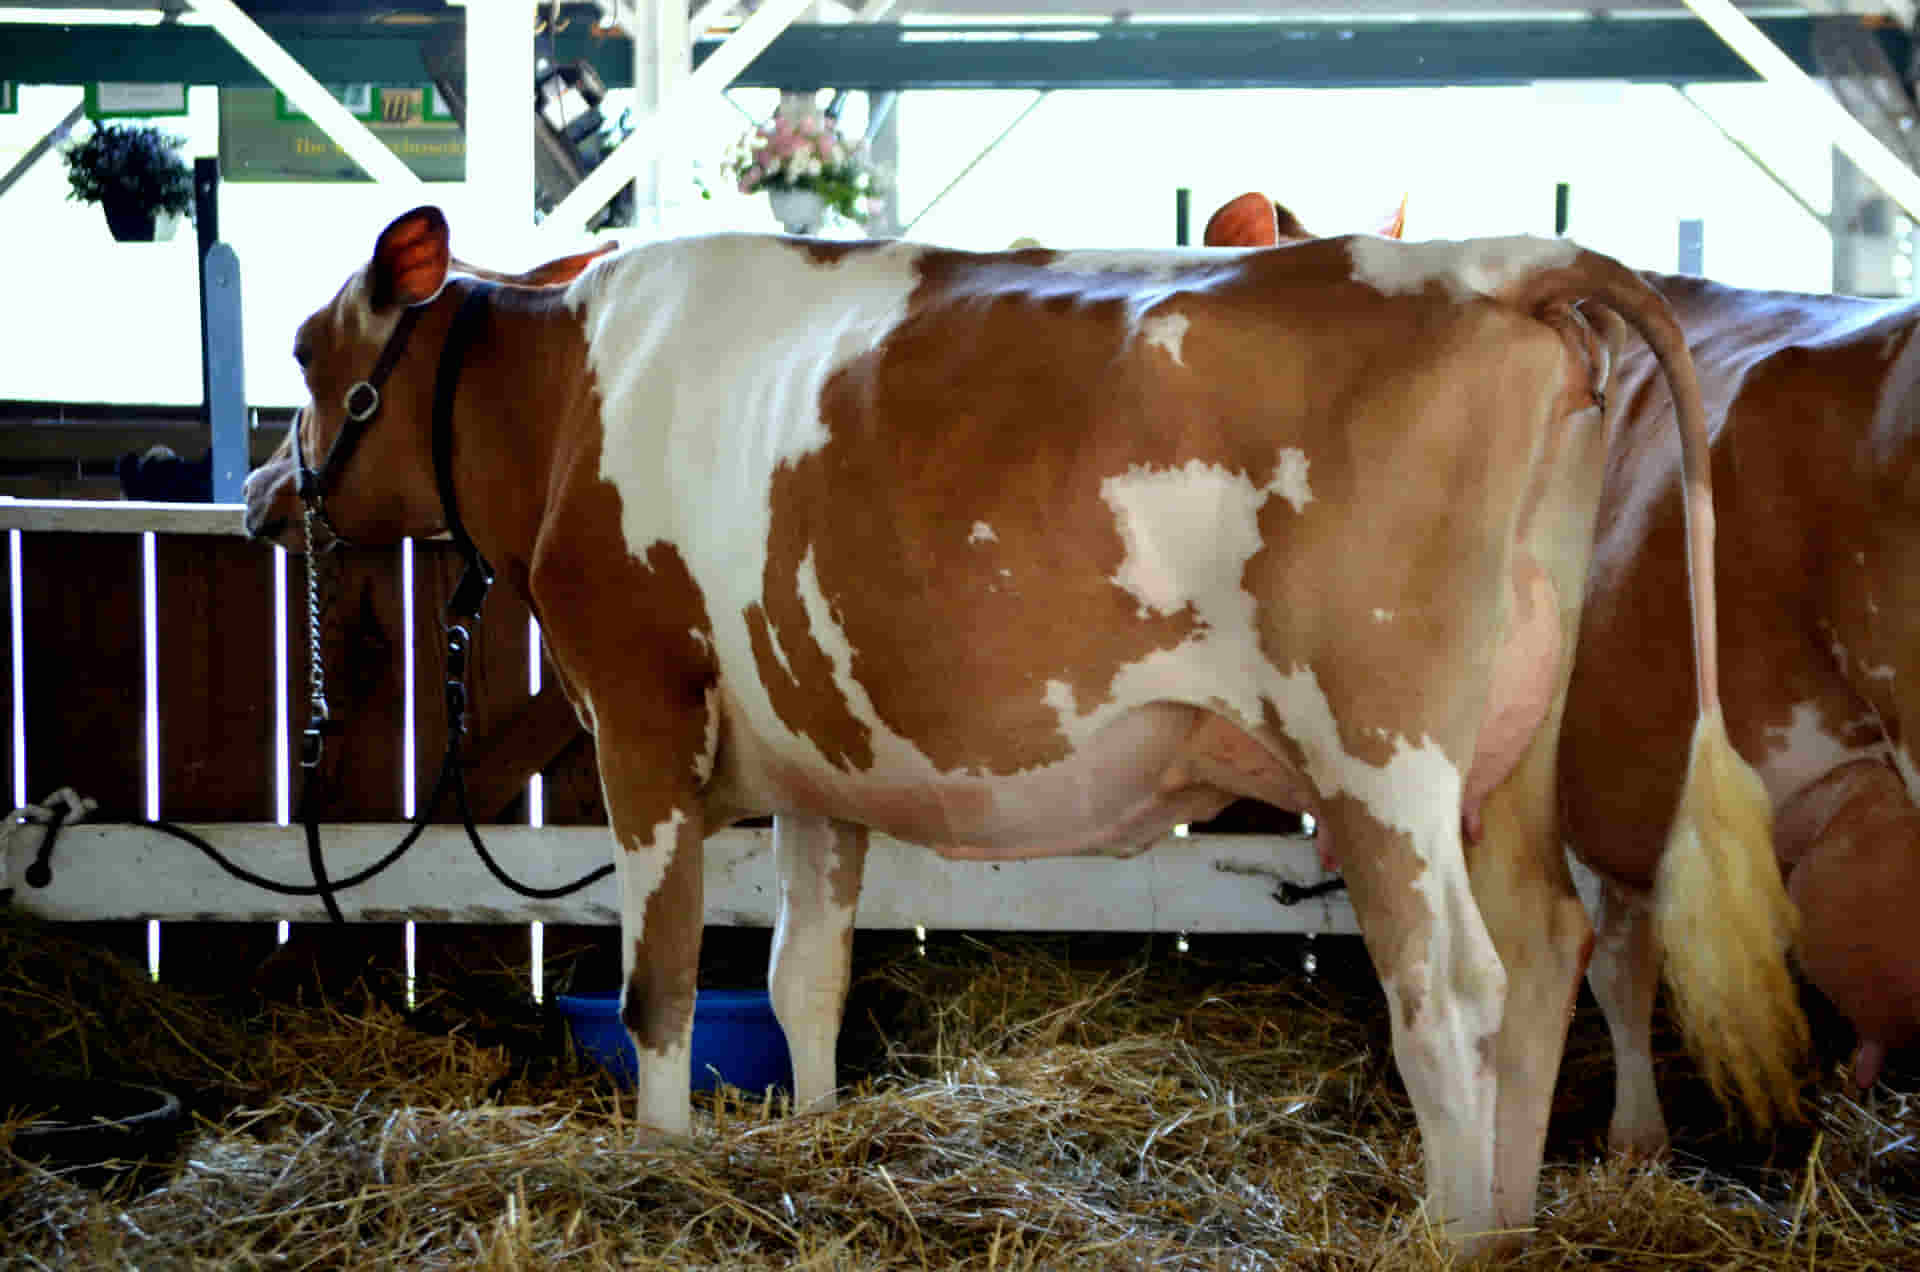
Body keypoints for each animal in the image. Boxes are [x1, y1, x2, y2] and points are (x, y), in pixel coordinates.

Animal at [241, 205, 1799, 1254]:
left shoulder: (640, 711)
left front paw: (662, 1160)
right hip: (1507, 756)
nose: (262, 494)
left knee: (1453, 987)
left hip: (1380, 760)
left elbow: (659, 989)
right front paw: (816, 1138)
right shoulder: (819, 761)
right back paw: (1512, 1219)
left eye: (313, 353)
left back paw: (1451, 1233)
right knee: (1545, 949)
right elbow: (807, 978)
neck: (573, 392)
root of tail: (1496, 263)